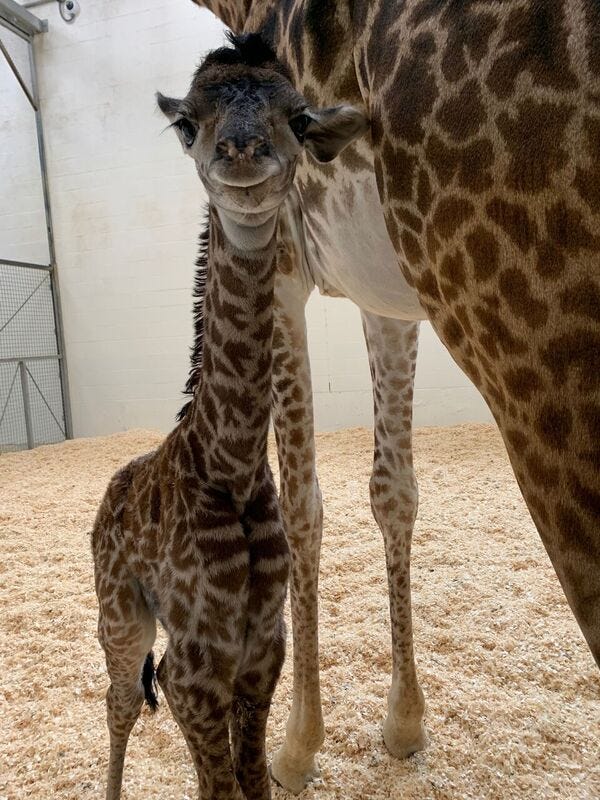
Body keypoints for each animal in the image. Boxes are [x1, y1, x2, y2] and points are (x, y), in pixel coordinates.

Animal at [91, 33, 367, 800]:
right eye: (188, 123)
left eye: (298, 119)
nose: (242, 154)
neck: (233, 465)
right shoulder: (193, 665)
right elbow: (218, 783)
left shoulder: (259, 651)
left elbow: (248, 779)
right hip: (119, 614)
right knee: (118, 702)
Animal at [187, 0, 600, 794]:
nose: (239, 161)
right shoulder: (388, 300)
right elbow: (393, 490)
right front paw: (405, 724)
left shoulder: (285, 266)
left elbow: (300, 504)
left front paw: (296, 745)